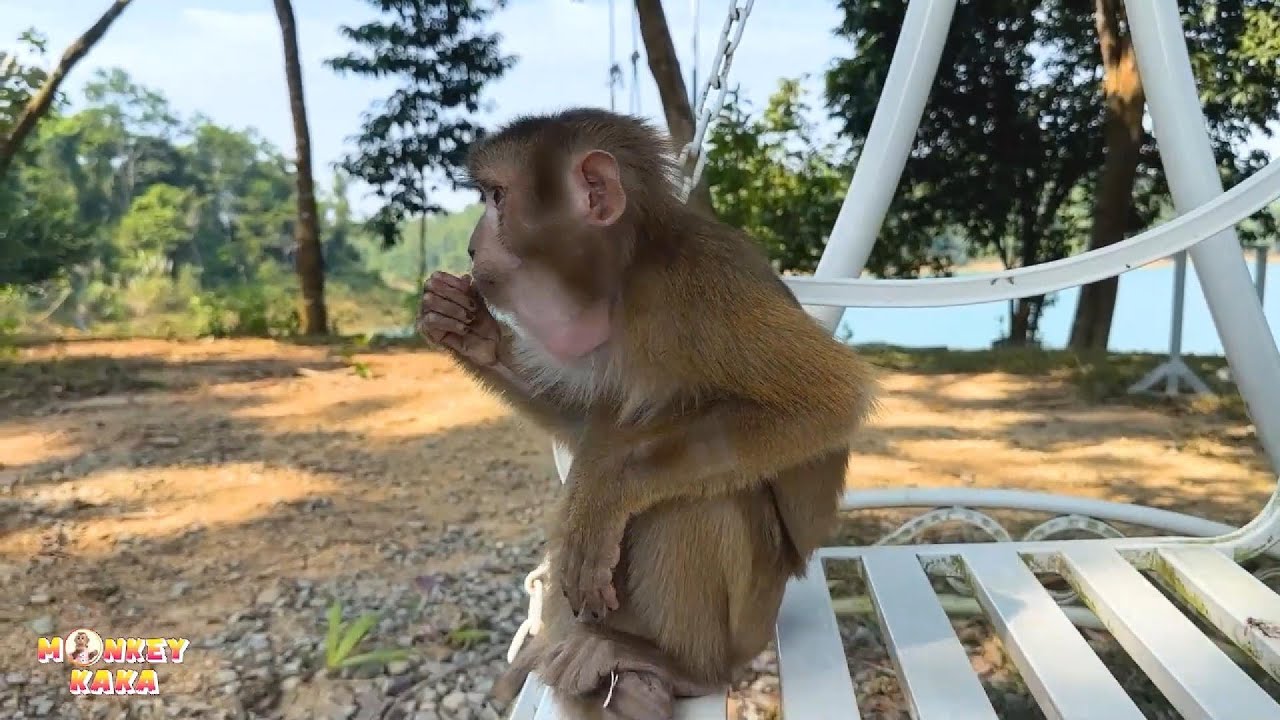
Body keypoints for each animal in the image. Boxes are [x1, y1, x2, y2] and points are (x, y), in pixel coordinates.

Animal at [418, 108, 876, 719]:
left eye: (496, 197)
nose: (472, 246)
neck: (629, 270)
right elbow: (586, 423)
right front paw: (473, 335)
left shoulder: (697, 294)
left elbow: (831, 398)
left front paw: (606, 494)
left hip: (753, 620)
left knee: (697, 502)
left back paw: (681, 668)